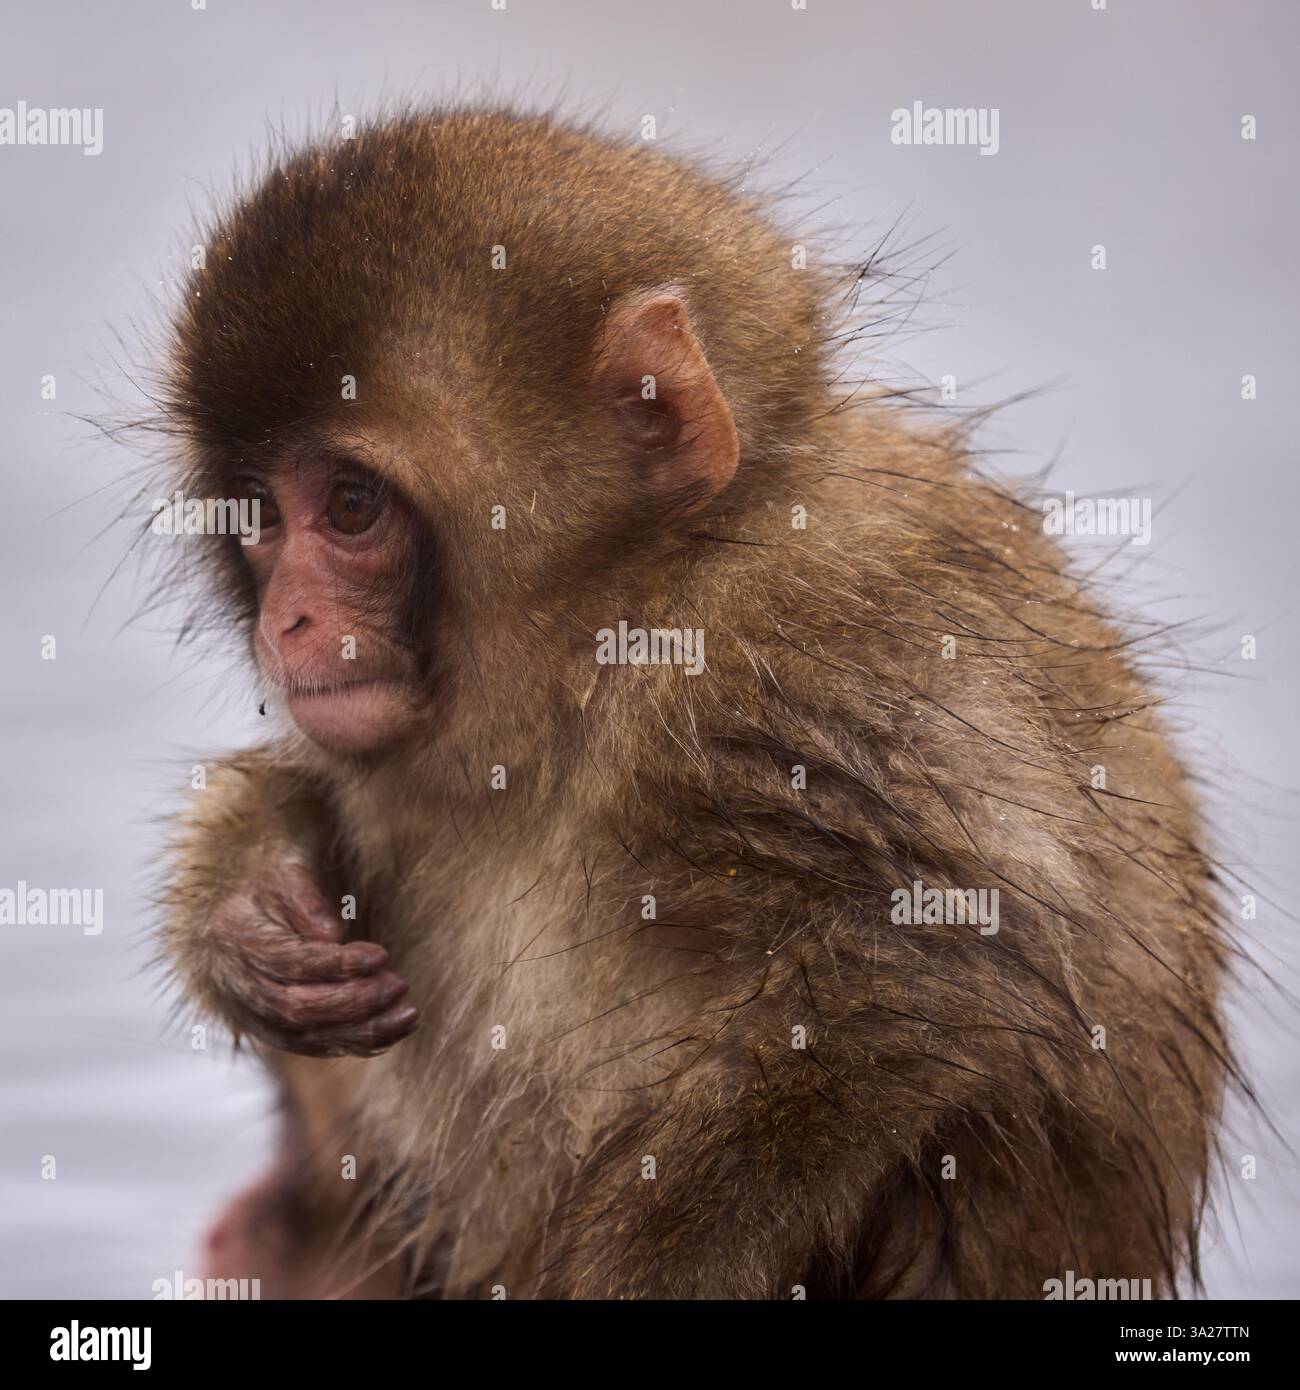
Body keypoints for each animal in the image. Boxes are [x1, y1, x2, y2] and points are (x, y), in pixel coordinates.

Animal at [156, 106, 1230, 1299]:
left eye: (349, 507)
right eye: (261, 515)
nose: (285, 620)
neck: (609, 645)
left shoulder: (806, 650)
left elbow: (941, 958)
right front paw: (251, 900)